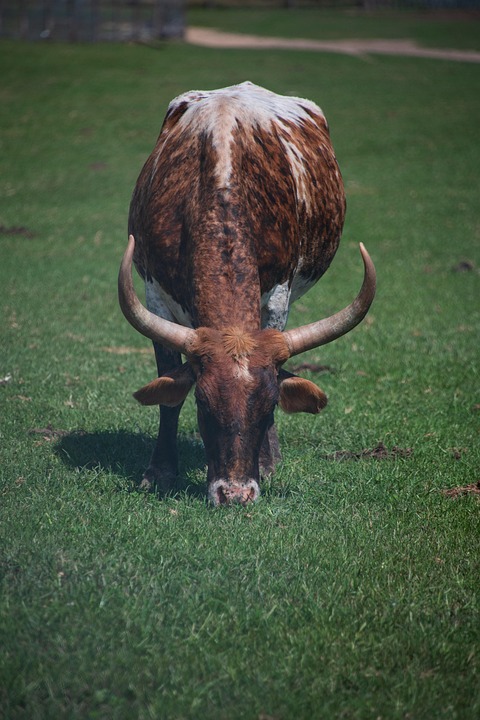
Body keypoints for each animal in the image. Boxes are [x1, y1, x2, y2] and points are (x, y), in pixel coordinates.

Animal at [118, 81, 376, 506]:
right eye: (203, 404)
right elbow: (169, 393)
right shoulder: (154, 296)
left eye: (270, 404)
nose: (235, 495)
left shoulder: (277, 298)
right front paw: (159, 472)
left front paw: (268, 464)